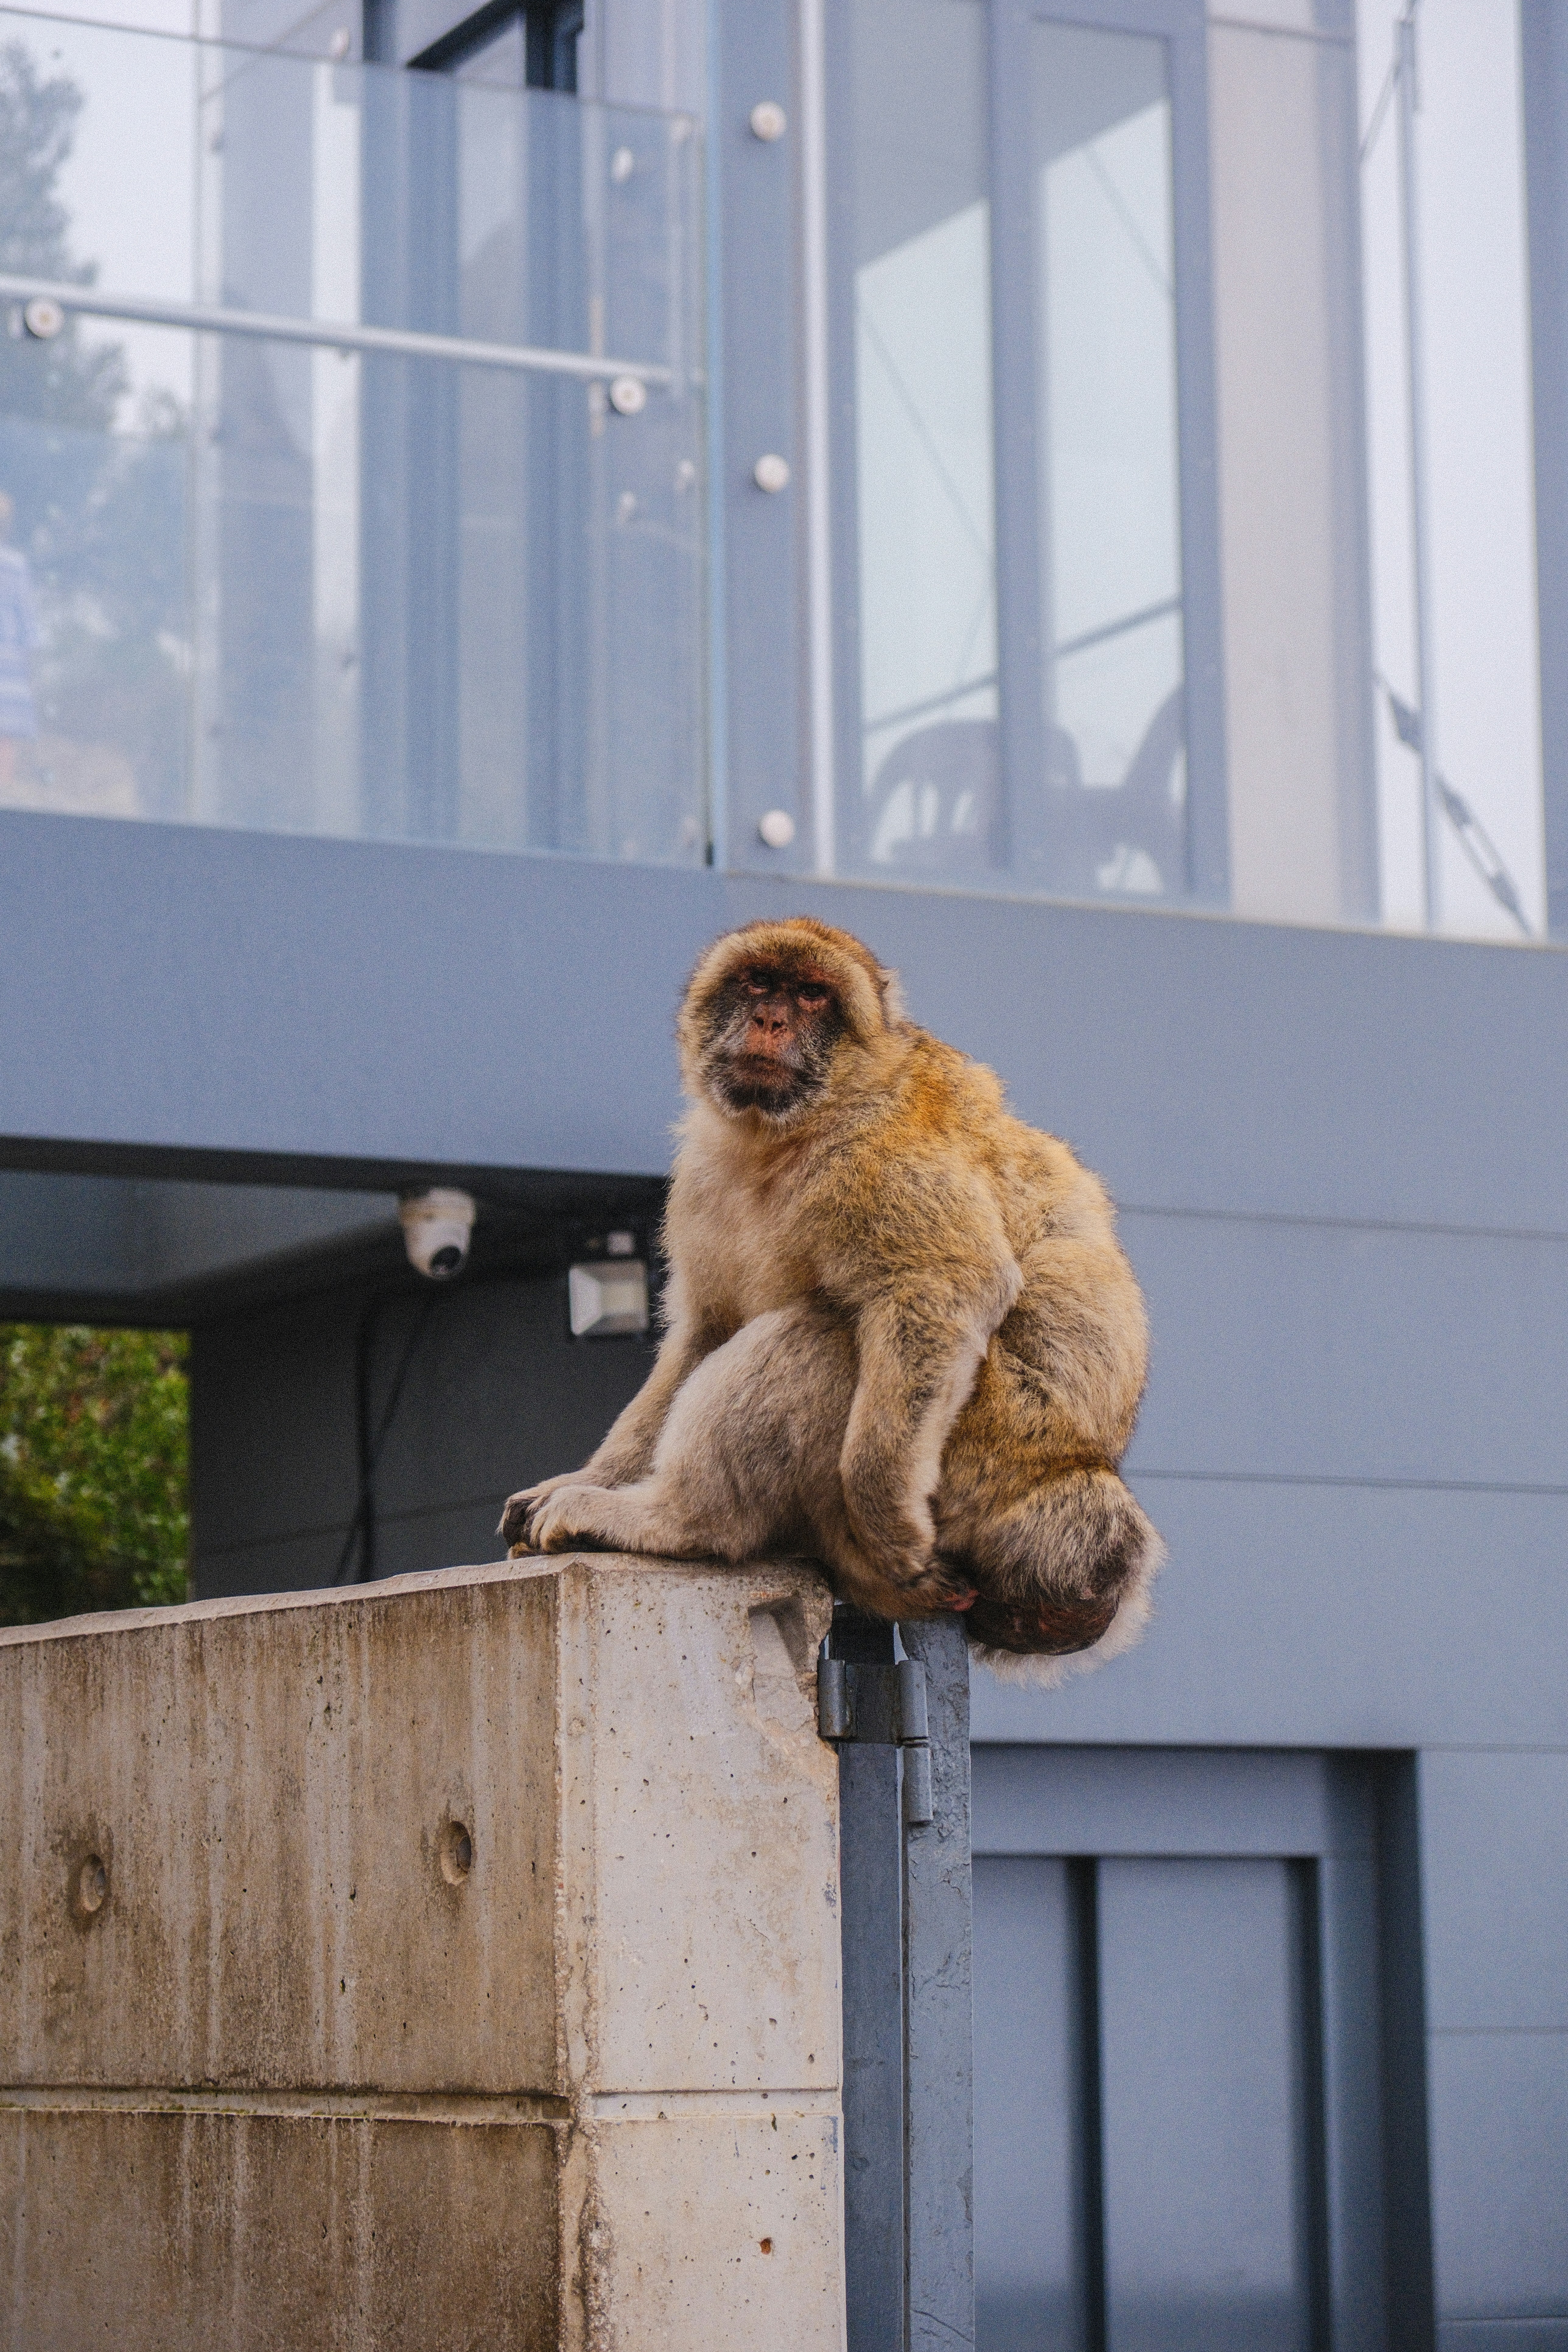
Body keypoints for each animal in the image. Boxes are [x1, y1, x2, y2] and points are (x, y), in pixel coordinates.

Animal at [500, 916, 1162, 1679]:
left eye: (812, 995)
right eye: (759, 983)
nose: (770, 1020)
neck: (785, 1133)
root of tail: (1085, 1470)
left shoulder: (878, 1154)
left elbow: (944, 1285)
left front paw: (886, 1520)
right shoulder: (701, 1176)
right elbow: (703, 1331)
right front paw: (589, 1475)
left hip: (987, 1458)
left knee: (825, 1335)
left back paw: (681, 1521)